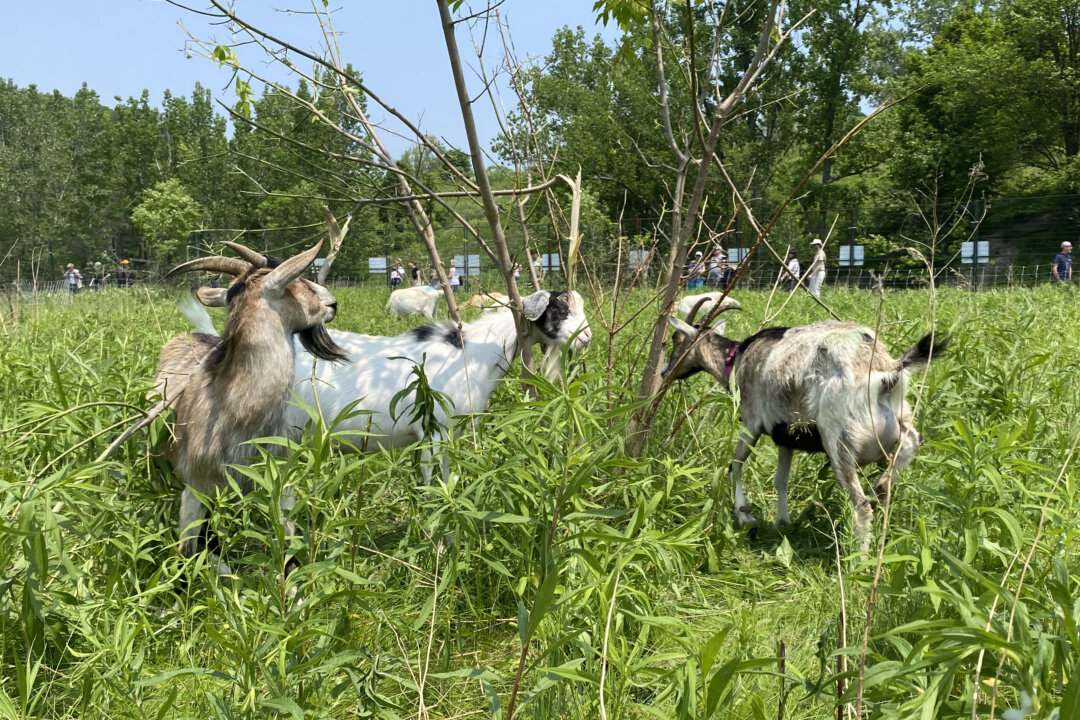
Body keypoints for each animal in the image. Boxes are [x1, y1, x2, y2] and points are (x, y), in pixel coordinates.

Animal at [155, 241, 348, 565]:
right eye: (299, 282)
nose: (332, 303)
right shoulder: (196, 489)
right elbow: (192, 552)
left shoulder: (280, 485)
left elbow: (288, 550)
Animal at [662, 301, 946, 551]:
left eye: (676, 339)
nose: (665, 372)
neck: (739, 358)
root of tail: (885, 373)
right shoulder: (786, 434)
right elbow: (781, 480)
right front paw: (782, 522)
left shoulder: (751, 421)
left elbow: (735, 465)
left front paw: (745, 517)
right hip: (900, 420)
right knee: (907, 450)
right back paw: (880, 490)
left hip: (837, 439)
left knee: (861, 505)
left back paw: (859, 562)